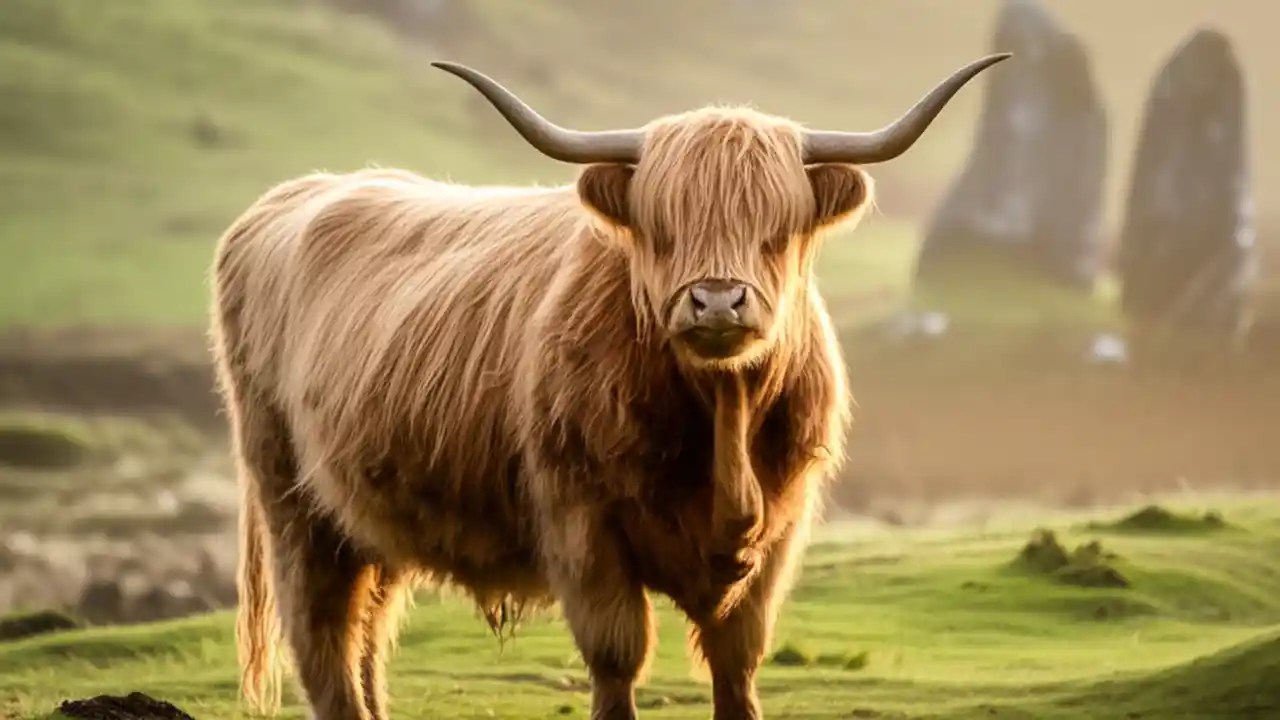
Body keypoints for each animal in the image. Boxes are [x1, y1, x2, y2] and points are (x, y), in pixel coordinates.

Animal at [210, 54, 1009, 720]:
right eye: (661, 226)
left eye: (777, 228)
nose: (716, 302)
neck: (721, 423)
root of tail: (296, 194)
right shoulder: (581, 524)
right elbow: (619, 656)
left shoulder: (779, 532)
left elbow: (737, 663)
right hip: (291, 503)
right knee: (323, 637)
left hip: (368, 519)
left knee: (368, 633)